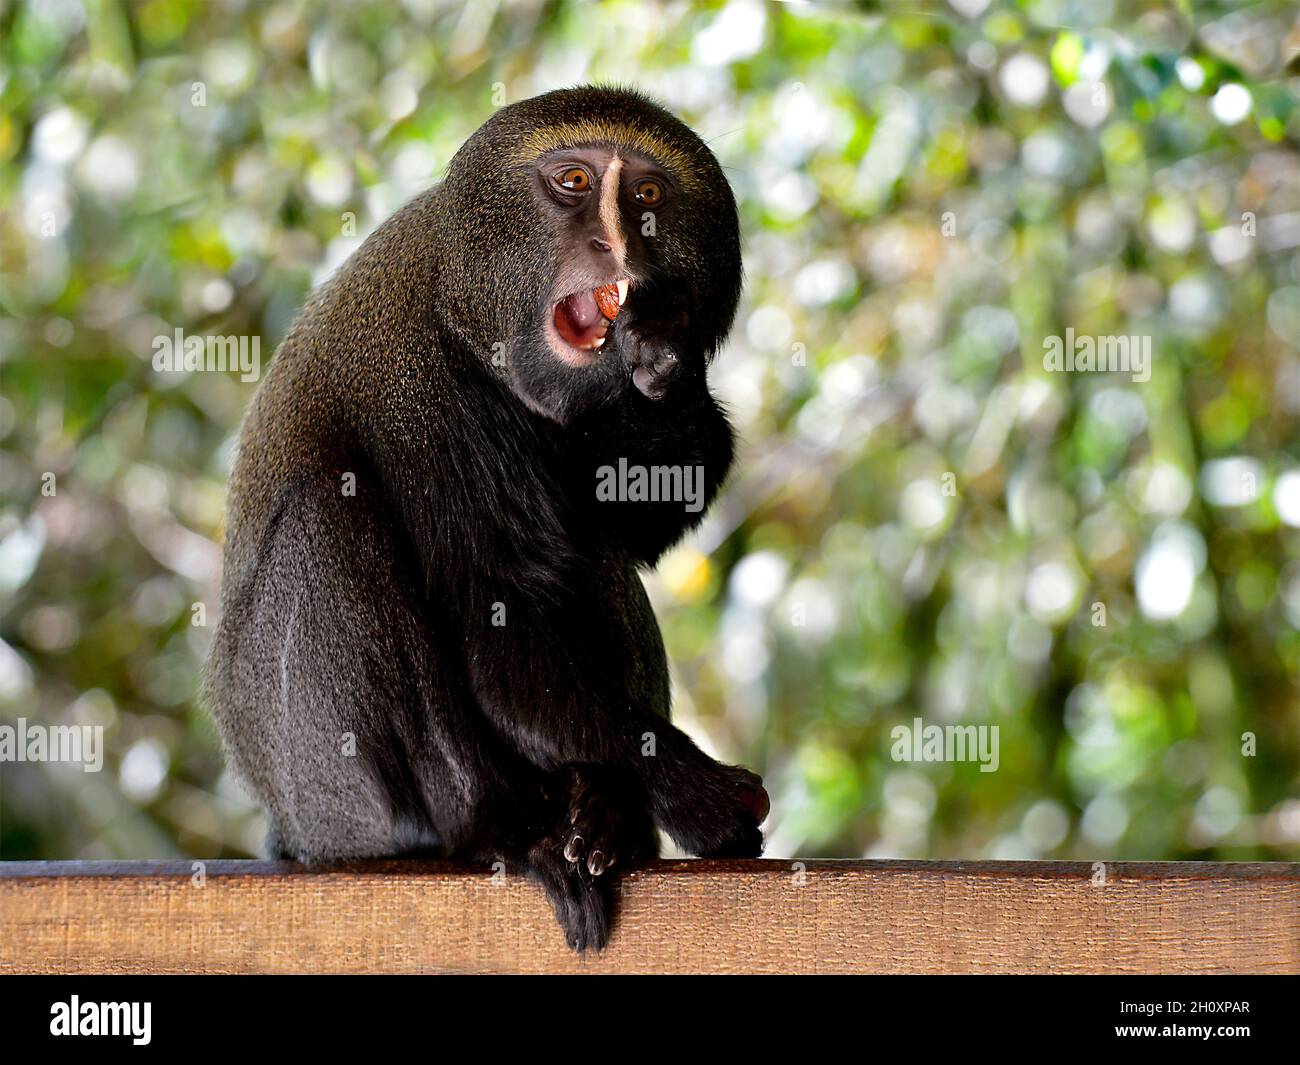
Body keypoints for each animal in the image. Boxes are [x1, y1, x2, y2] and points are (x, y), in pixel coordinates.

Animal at [206, 86, 768, 952]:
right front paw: (699, 797)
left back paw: (605, 810)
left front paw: (665, 356)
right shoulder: (419, 388)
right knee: (327, 517)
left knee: (591, 551)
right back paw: (500, 829)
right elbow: (492, 628)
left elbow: (636, 522)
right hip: (326, 793)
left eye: (646, 194)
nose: (615, 242)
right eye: (574, 181)